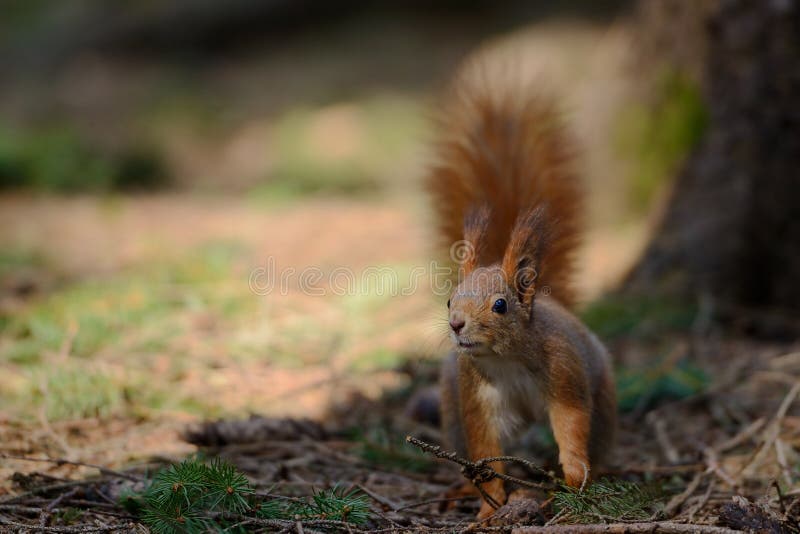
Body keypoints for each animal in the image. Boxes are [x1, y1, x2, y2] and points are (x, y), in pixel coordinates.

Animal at [427, 70, 617, 520]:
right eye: (449, 300)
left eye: (500, 305)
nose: (456, 324)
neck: (507, 357)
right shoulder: (475, 392)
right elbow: (485, 449)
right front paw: (491, 507)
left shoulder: (564, 370)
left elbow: (571, 422)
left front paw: (573, 474)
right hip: (450, 407)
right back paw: (462, 489)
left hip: (603, 392)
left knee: (598, 431)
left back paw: (597, 473)